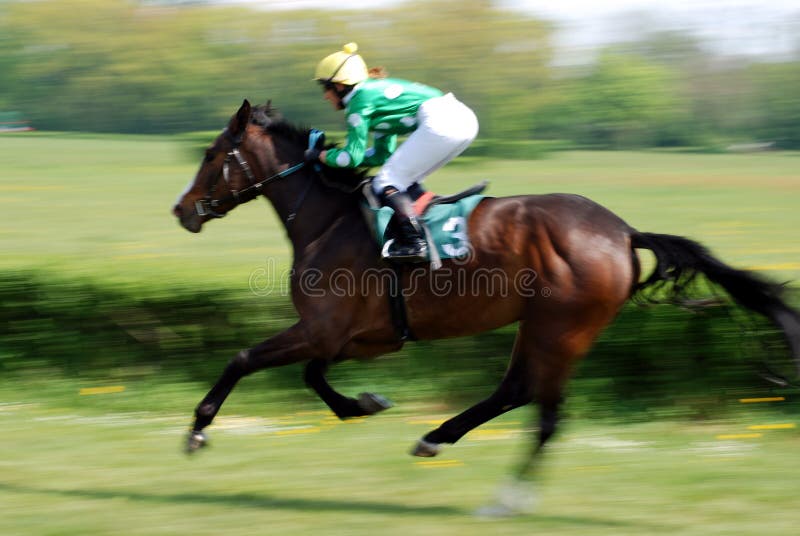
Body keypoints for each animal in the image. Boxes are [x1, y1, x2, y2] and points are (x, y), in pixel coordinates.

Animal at [172, 99, 800, 515]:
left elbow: (248, 359)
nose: (182, 210)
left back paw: (505, 498)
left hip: (561, 328)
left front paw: (198, 431)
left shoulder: (322, 327)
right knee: (515, 392)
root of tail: (623, 233)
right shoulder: (354, 338)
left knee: (545, 415)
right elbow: (312, 374)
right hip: (540, 326)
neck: (329, 220)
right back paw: (435, 439)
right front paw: (365, 403)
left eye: (211, 153)